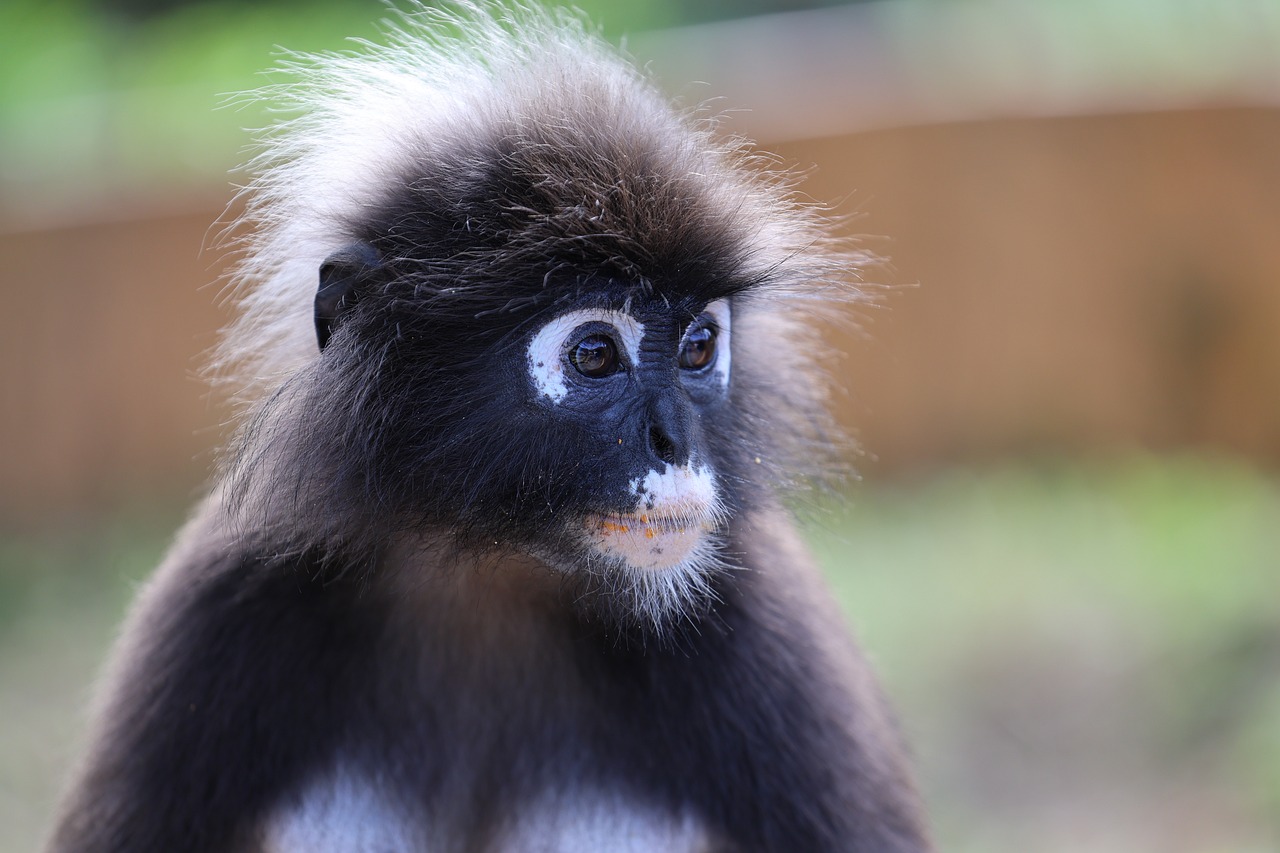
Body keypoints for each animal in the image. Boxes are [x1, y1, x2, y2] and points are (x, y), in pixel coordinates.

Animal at [47, 4, 932, 852]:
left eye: (698, 347)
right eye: (594, 353)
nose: (675, 441)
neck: (492, 566)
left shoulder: (767, 620)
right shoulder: (218, 601)